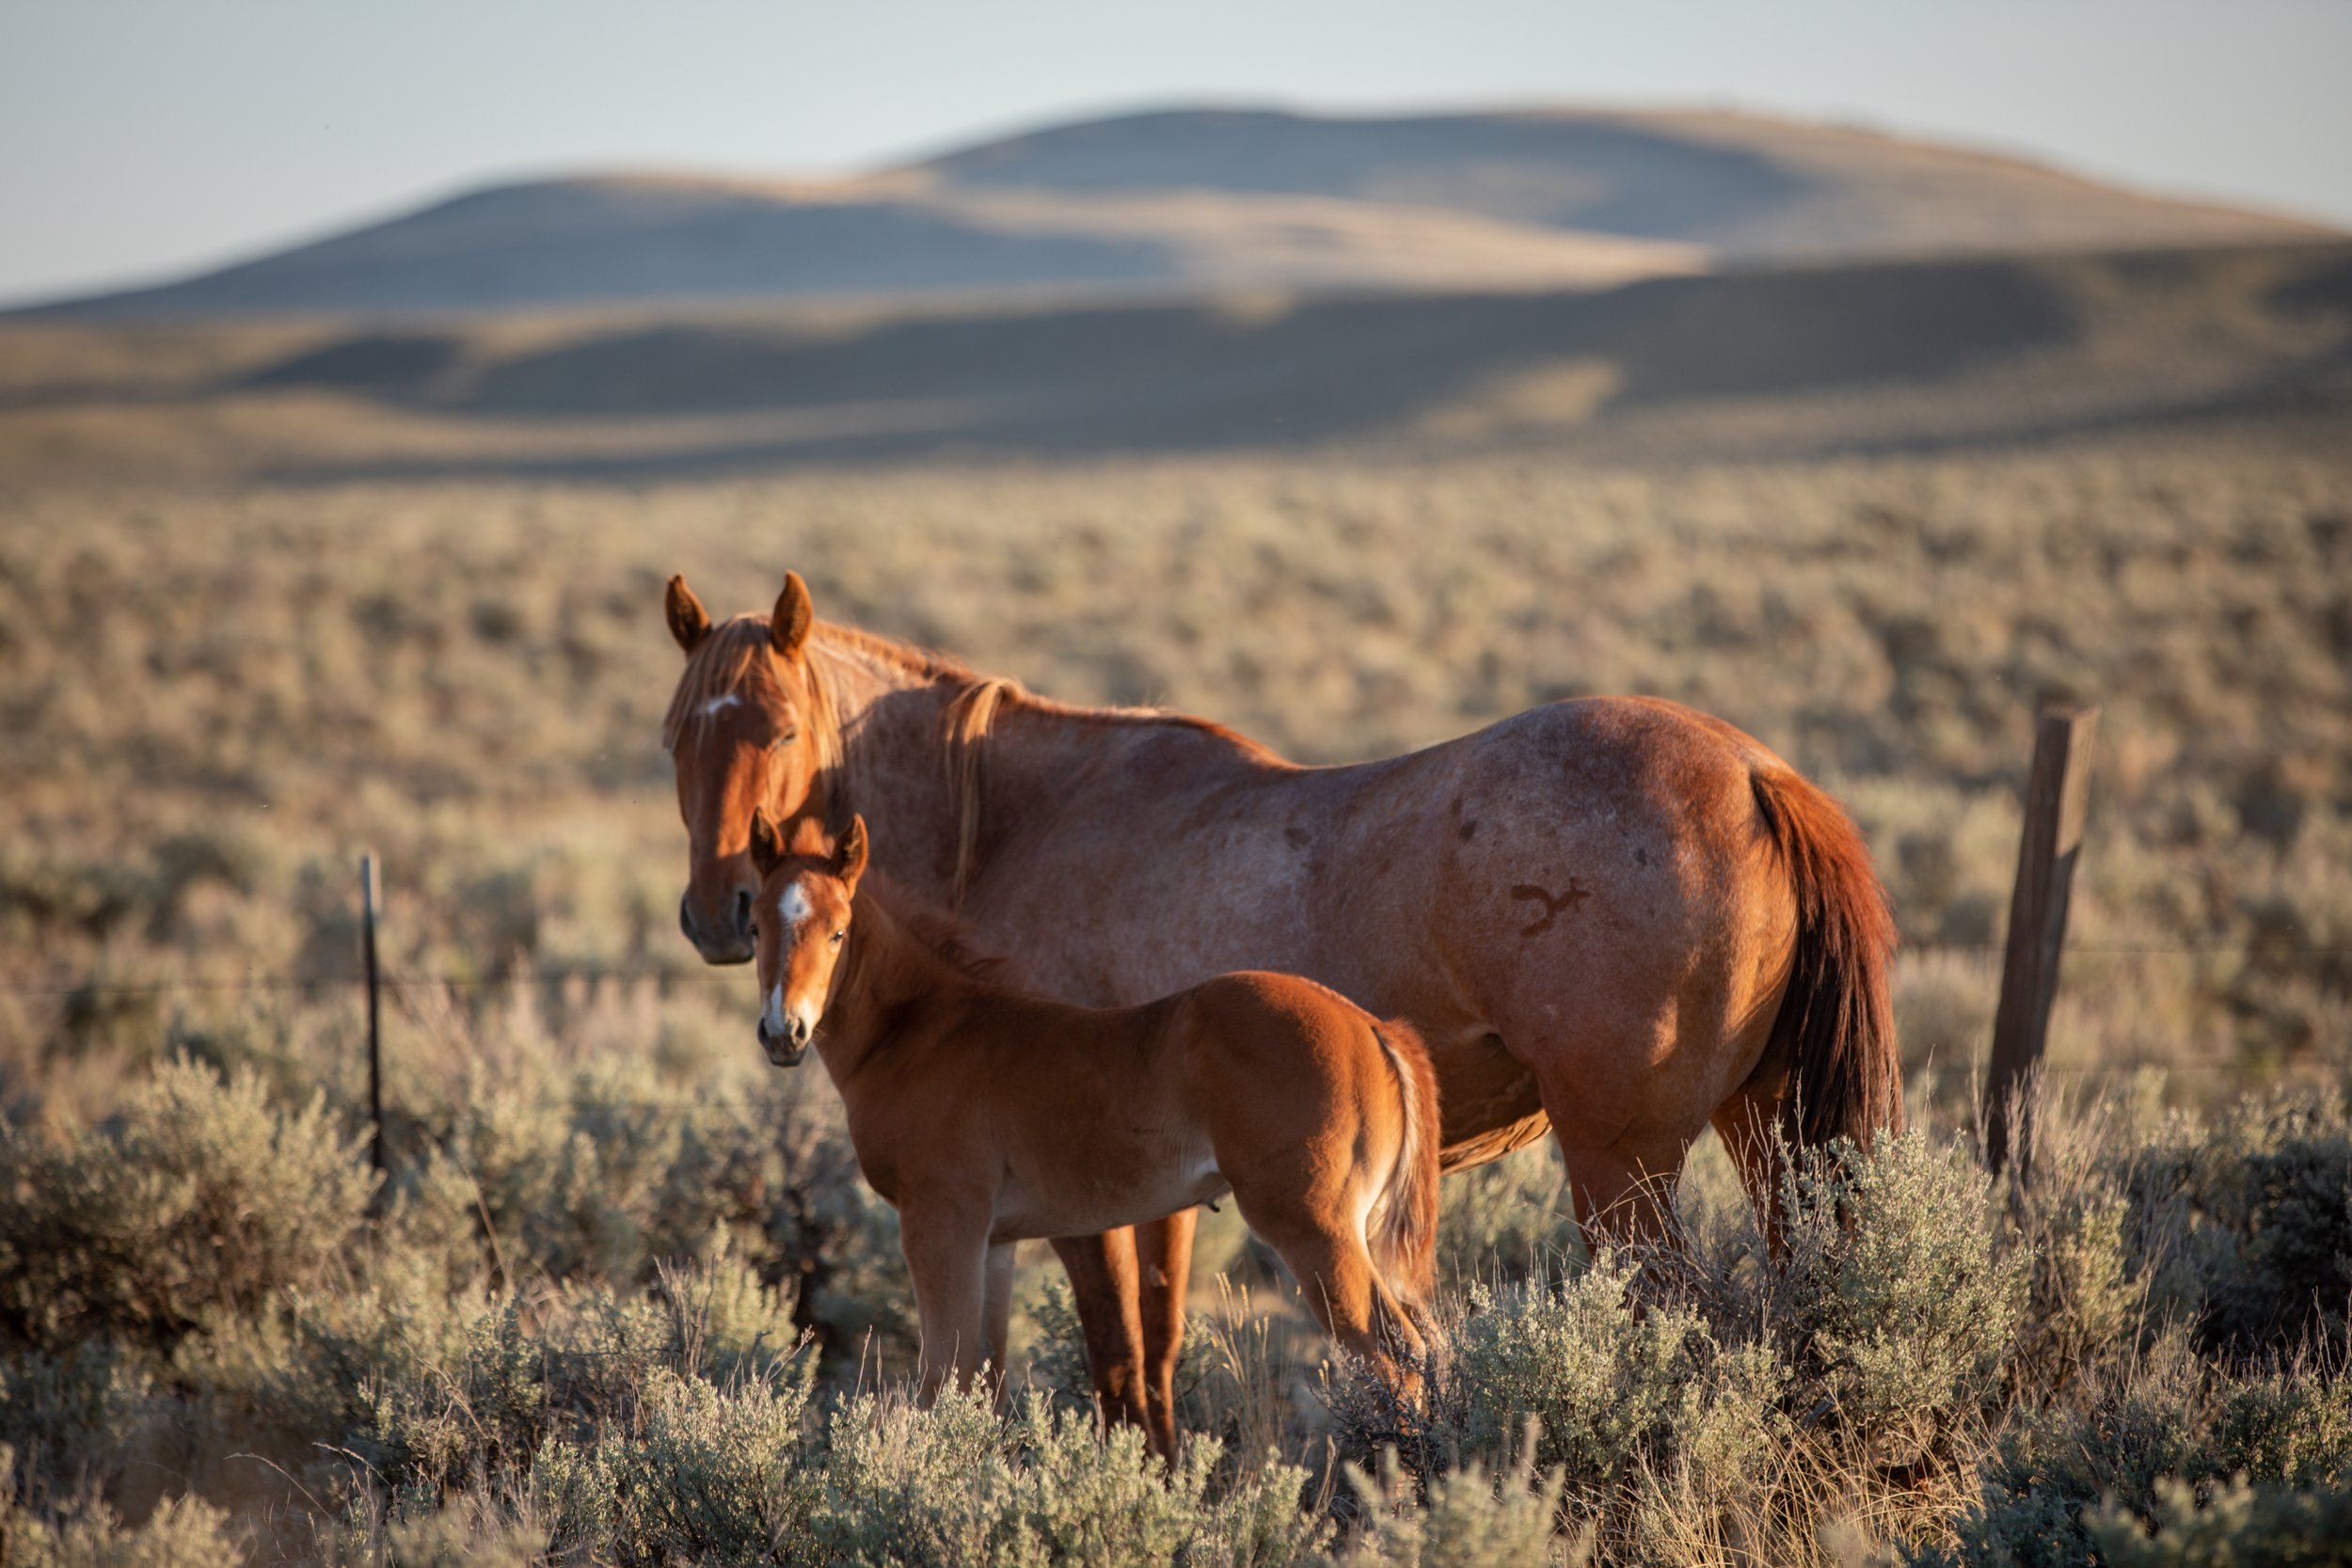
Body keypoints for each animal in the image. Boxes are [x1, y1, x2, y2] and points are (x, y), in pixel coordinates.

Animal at [745, 809, 1440, 1405]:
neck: (921, 1028)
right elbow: (982, 1381)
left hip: (1312, 1225)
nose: (784, 1032)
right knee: (1427, 1349)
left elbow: (941, 1376)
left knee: (1393, 1360)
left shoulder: (940, 1220)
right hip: (1363, 1229)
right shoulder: (994, 1241)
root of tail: (1373, 1027)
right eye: (755, 928)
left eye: (838, 931)